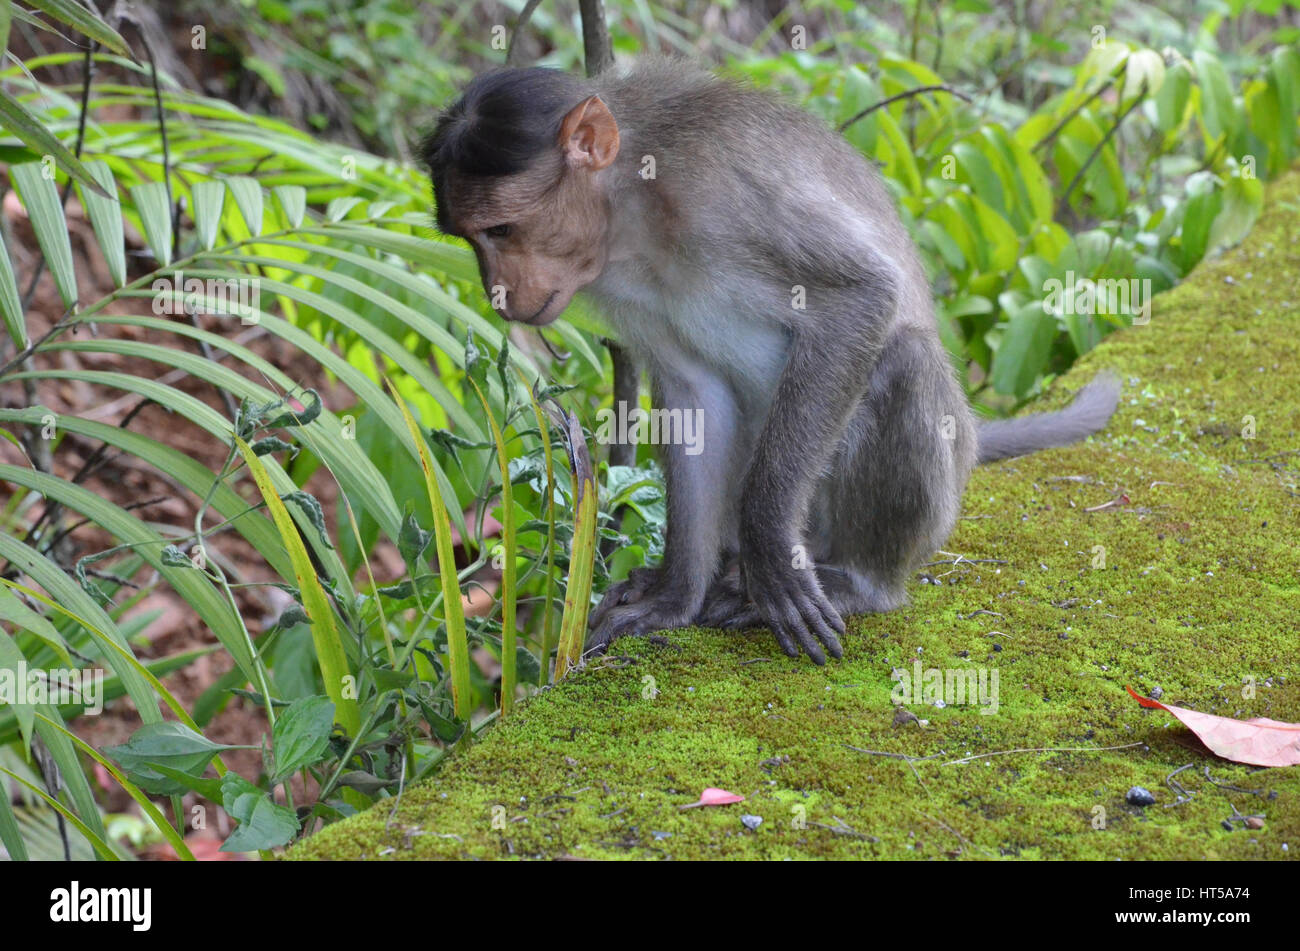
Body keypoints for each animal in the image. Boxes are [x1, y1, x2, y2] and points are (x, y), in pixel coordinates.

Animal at [421, 60, 1120, 665]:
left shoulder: (721, 190)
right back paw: (718, 572)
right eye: (470, 240)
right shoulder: (621, 286)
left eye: (503, 229)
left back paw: (859, 582)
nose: (495, 292)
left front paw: (769, 553)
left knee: (905, 360)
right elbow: (696, 394)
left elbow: (861, 297)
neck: (635, 214)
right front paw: (675, 595)